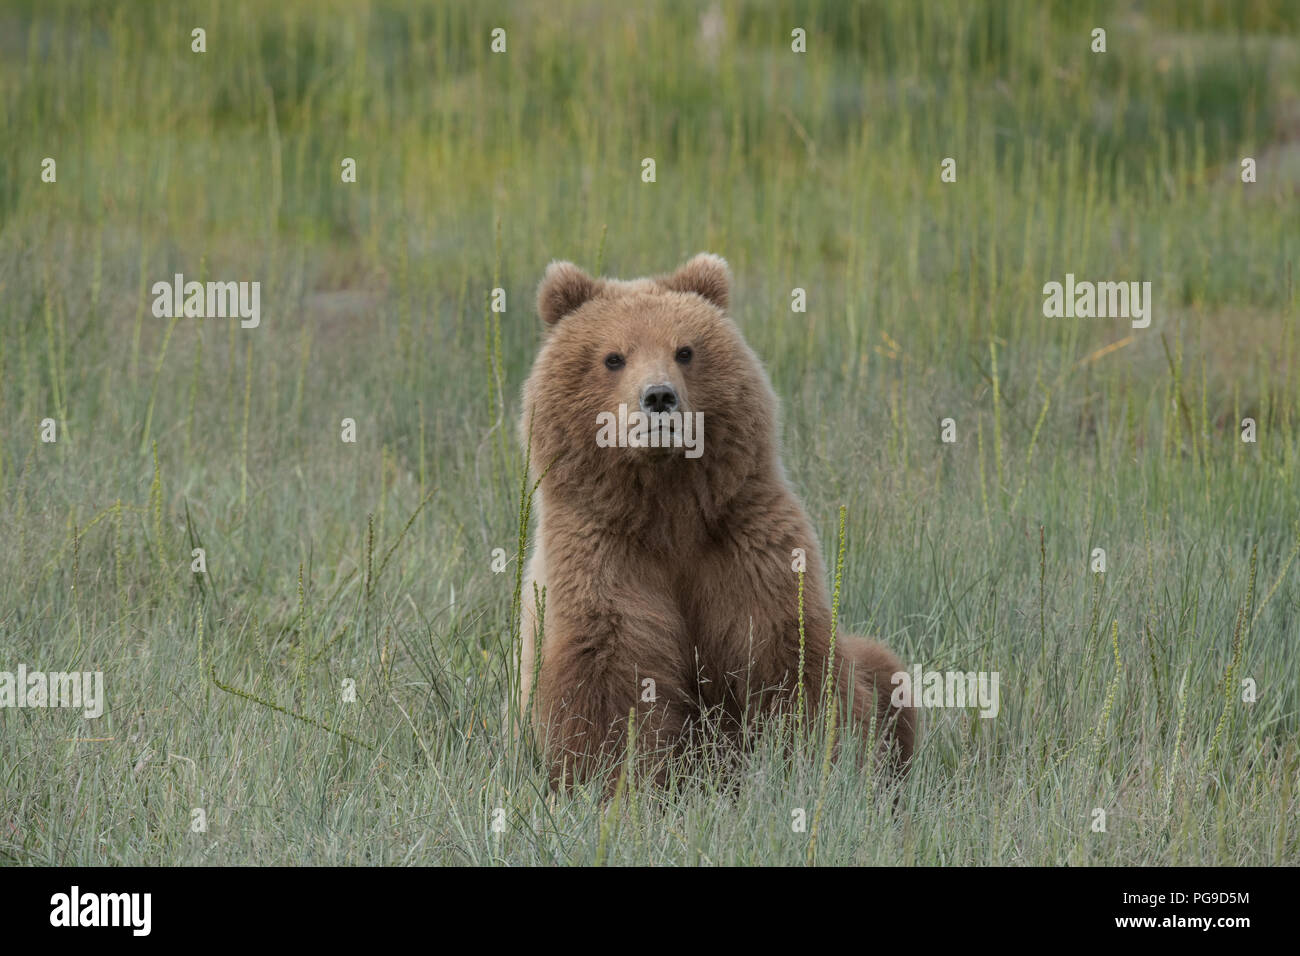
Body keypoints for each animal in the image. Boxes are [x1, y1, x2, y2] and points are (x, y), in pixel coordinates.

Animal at [516, 253, 916, 790]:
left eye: (685, 350)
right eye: (613, 357)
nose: (659, 398)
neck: (667, 509)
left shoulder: (743, 547)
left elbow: (787, 660)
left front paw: (812, 762)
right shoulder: (601, 556)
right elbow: (610, 677)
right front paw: (611, 780)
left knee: (887, 675)